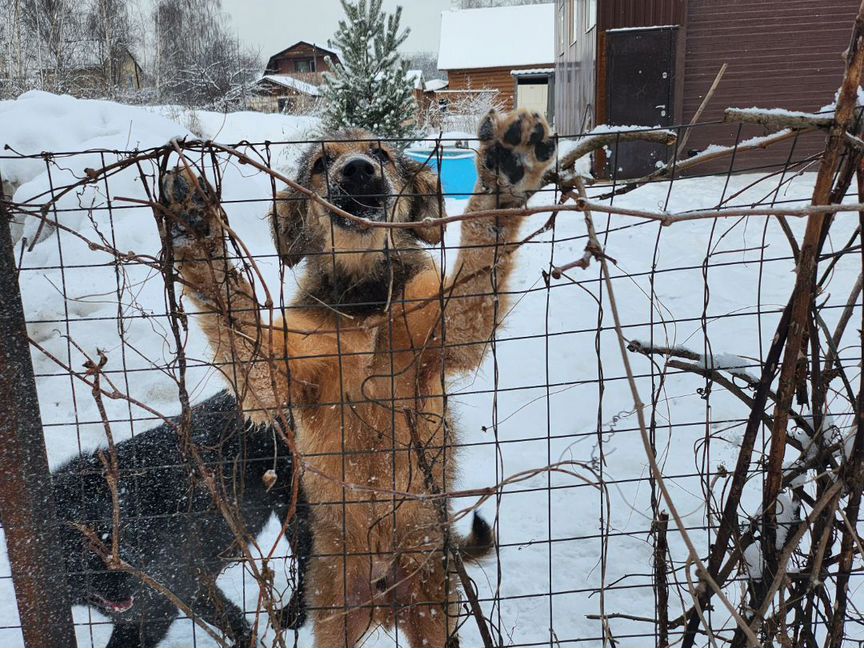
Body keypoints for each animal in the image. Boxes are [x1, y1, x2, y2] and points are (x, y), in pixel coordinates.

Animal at [52, 390, 308, 648]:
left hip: (295, 512)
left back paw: (294, 615)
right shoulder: (191, 587)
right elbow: (231, 619)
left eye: (113, 532)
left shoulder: (156, 605)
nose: (135, 574)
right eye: (82, 552)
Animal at [158, 109, 556, 644]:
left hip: (434, 606)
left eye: (380, 153)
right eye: (321, 163)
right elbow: (231, 308)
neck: (363, 300)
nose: (358, 171)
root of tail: (385, 596)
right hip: (334, 612)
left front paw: (507, 174)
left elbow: (481, 250)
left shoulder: (451, 331)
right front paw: (196, 227)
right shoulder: (276, 375)